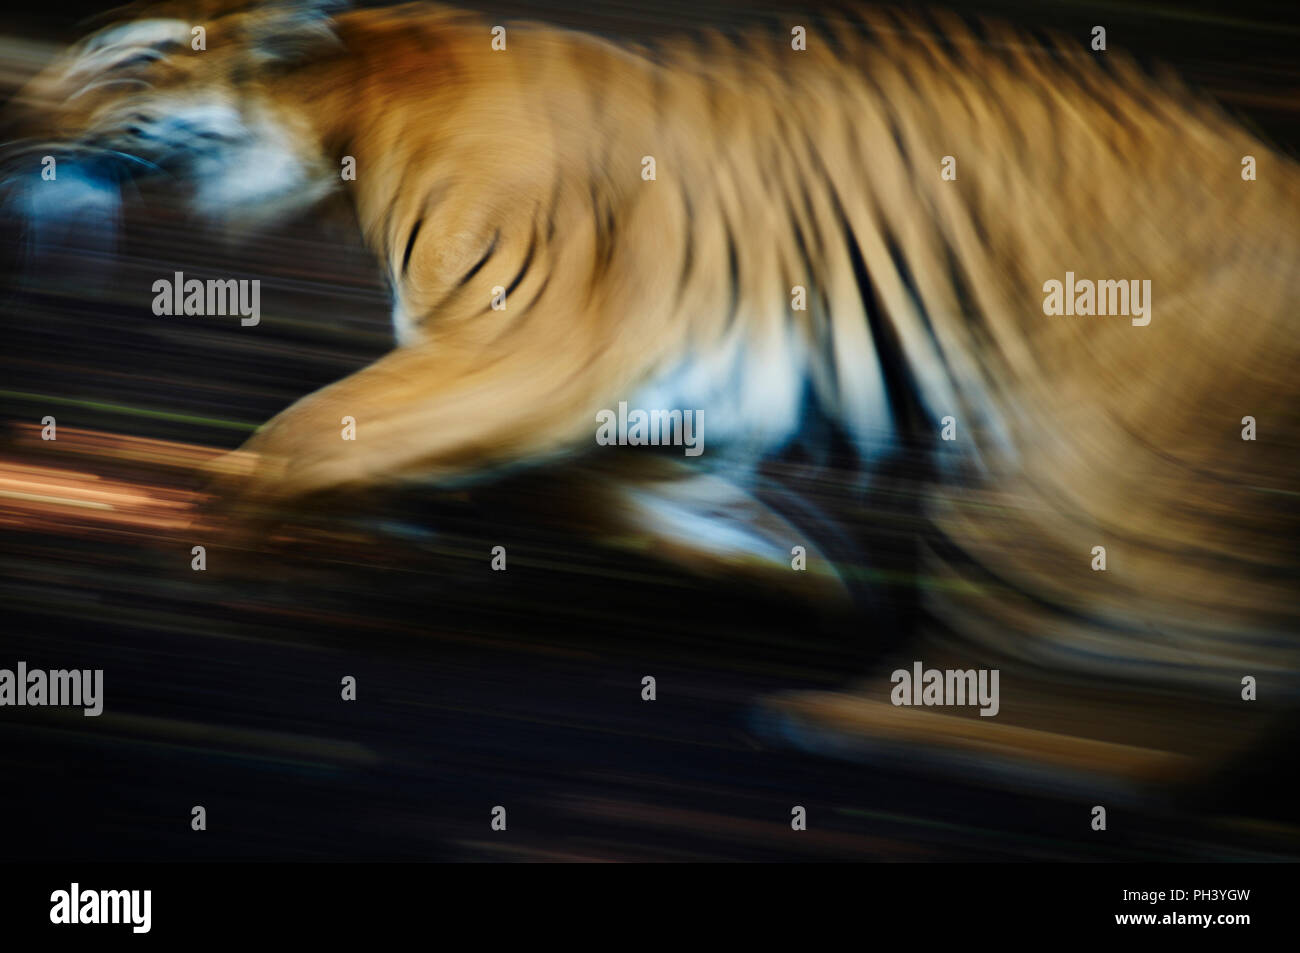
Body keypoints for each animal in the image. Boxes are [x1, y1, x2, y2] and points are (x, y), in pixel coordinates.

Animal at [7, 0, 1299, 799]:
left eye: (124, 67)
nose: (23, 132)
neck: (343, 133)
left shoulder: (537, 352)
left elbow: (301, 432)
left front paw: (251, 541)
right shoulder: (651, 394)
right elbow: (595, 498)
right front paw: (794, 569)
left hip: (1070, 464)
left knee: (1191, 680)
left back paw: (857, 721)